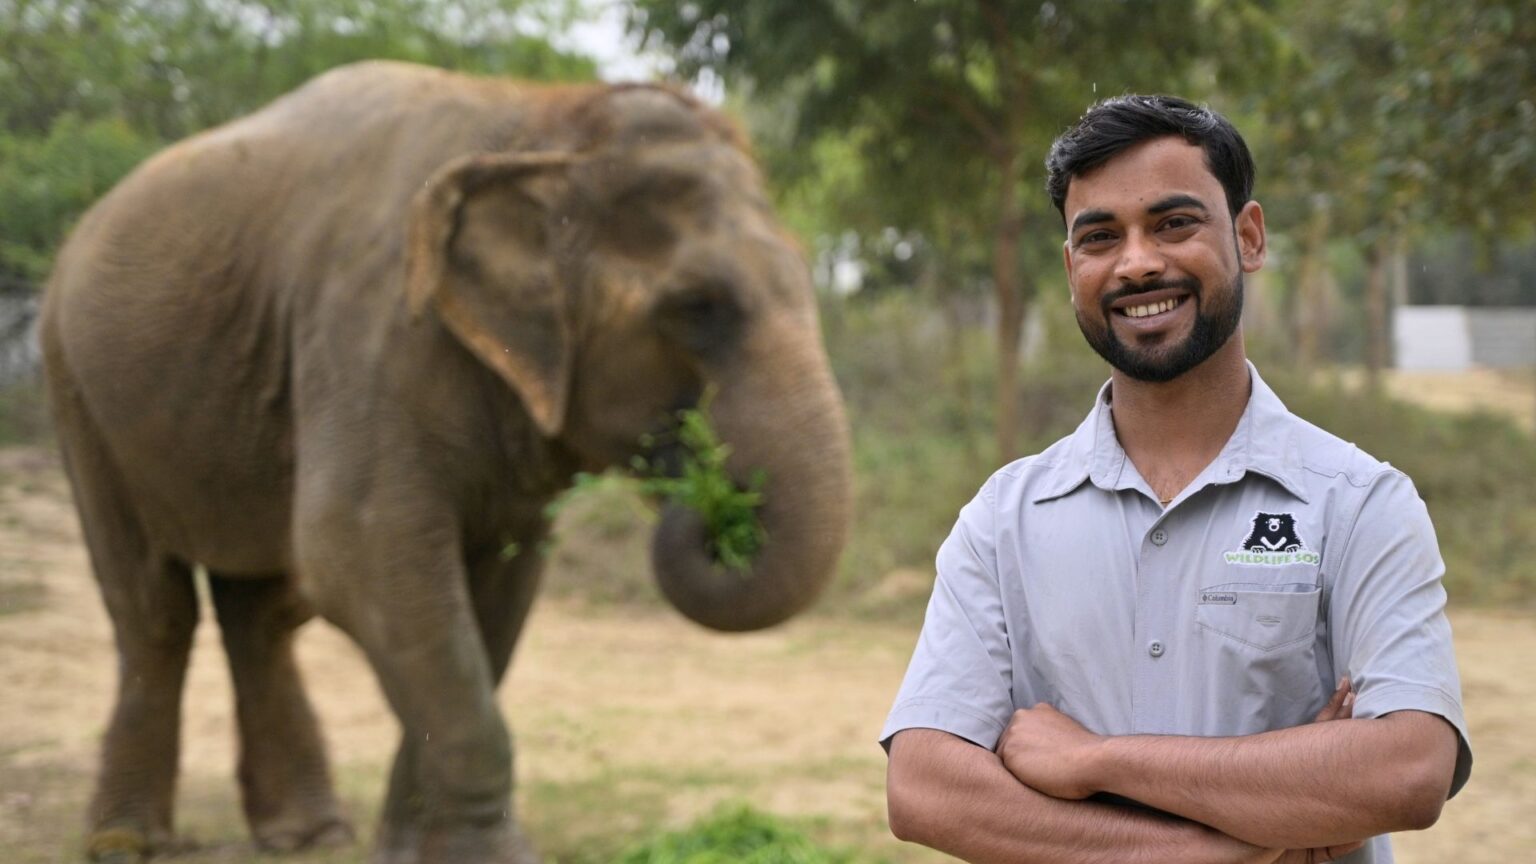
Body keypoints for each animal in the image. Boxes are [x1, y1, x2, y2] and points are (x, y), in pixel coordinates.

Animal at [39, 61, 852, 864]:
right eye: (695, 306)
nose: (712, 493)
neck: (546, 130)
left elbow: (492, 596)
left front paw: (410, 852)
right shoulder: (372, 333)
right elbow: (359, 556)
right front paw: (491, 857)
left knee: (258, 608)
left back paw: (308, 835)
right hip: (76, 387)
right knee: (153, 606)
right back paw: (126, 842)